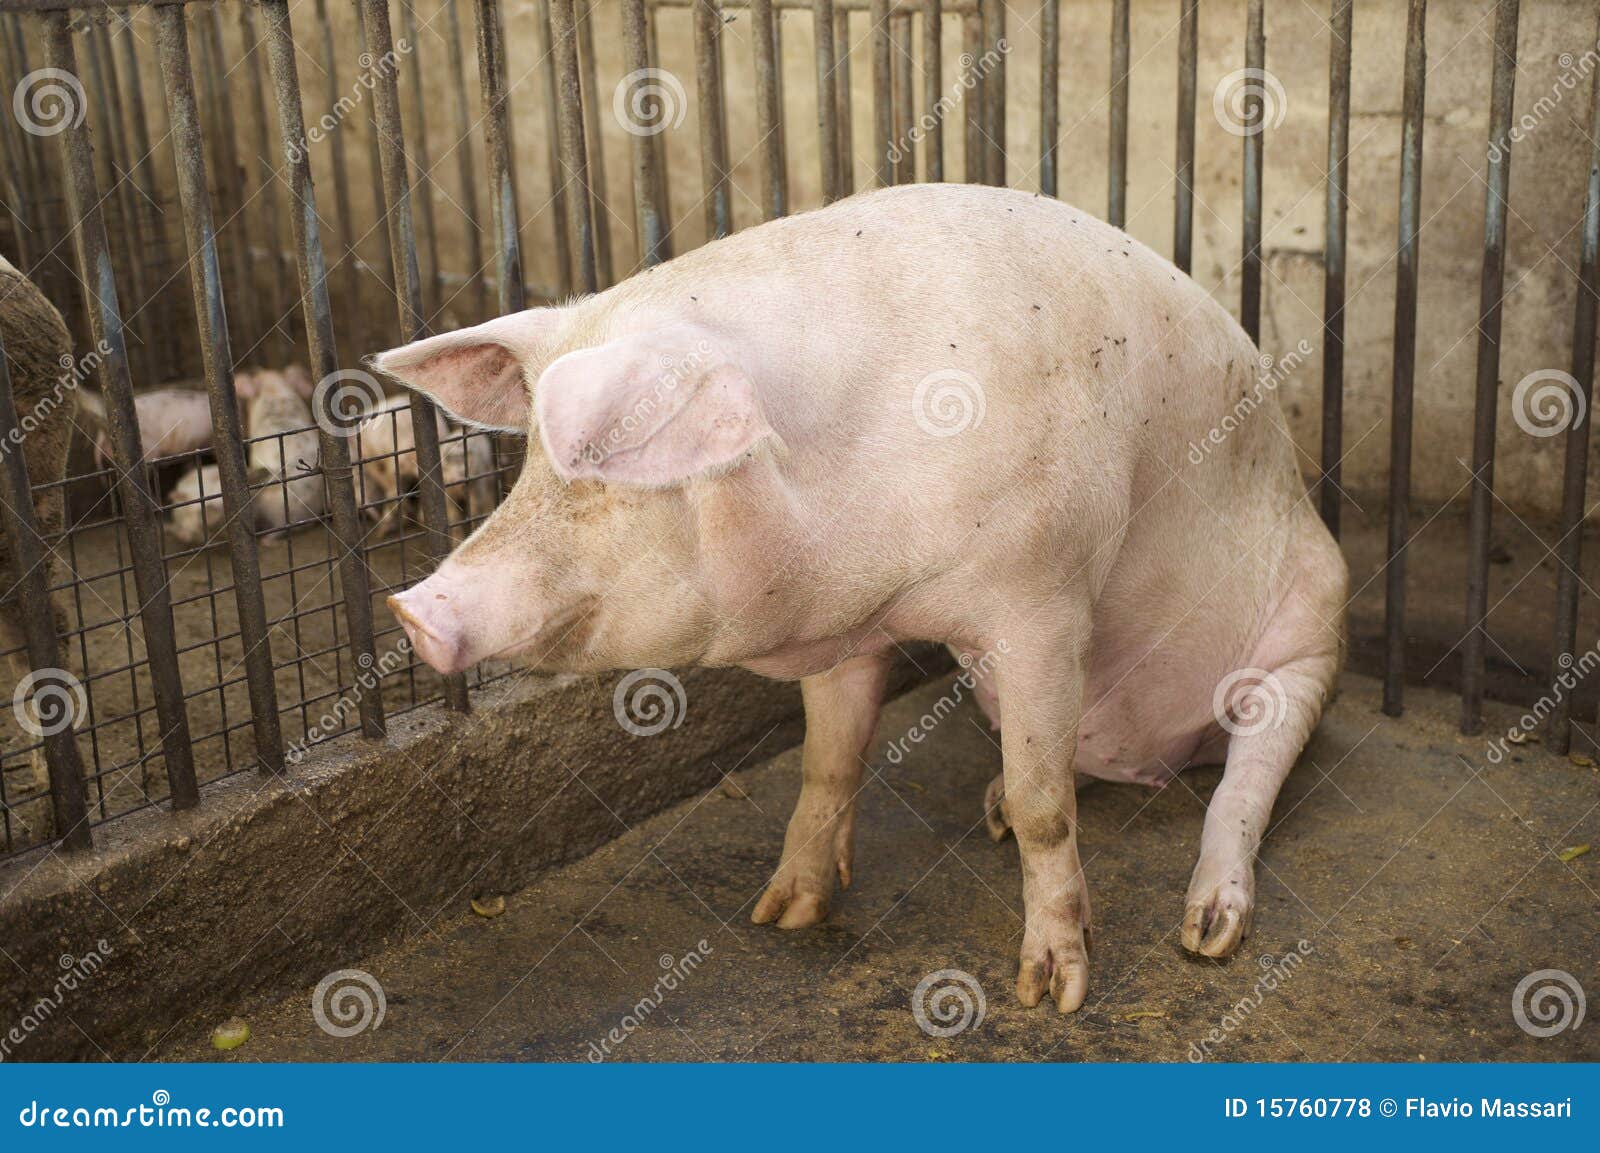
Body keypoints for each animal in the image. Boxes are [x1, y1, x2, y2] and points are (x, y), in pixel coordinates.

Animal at [376, 183, 1348, 1015]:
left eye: (607, 454)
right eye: (530, 461)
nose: (411, 609)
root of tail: (1155, 760)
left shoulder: (1043, 597)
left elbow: (1046, 806)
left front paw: (1050, 992)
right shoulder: (844, 621)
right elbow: (830, 762)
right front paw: (781, 913)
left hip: (1314, 626)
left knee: (1244, 781)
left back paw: (1209, 930)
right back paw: (990, 812)